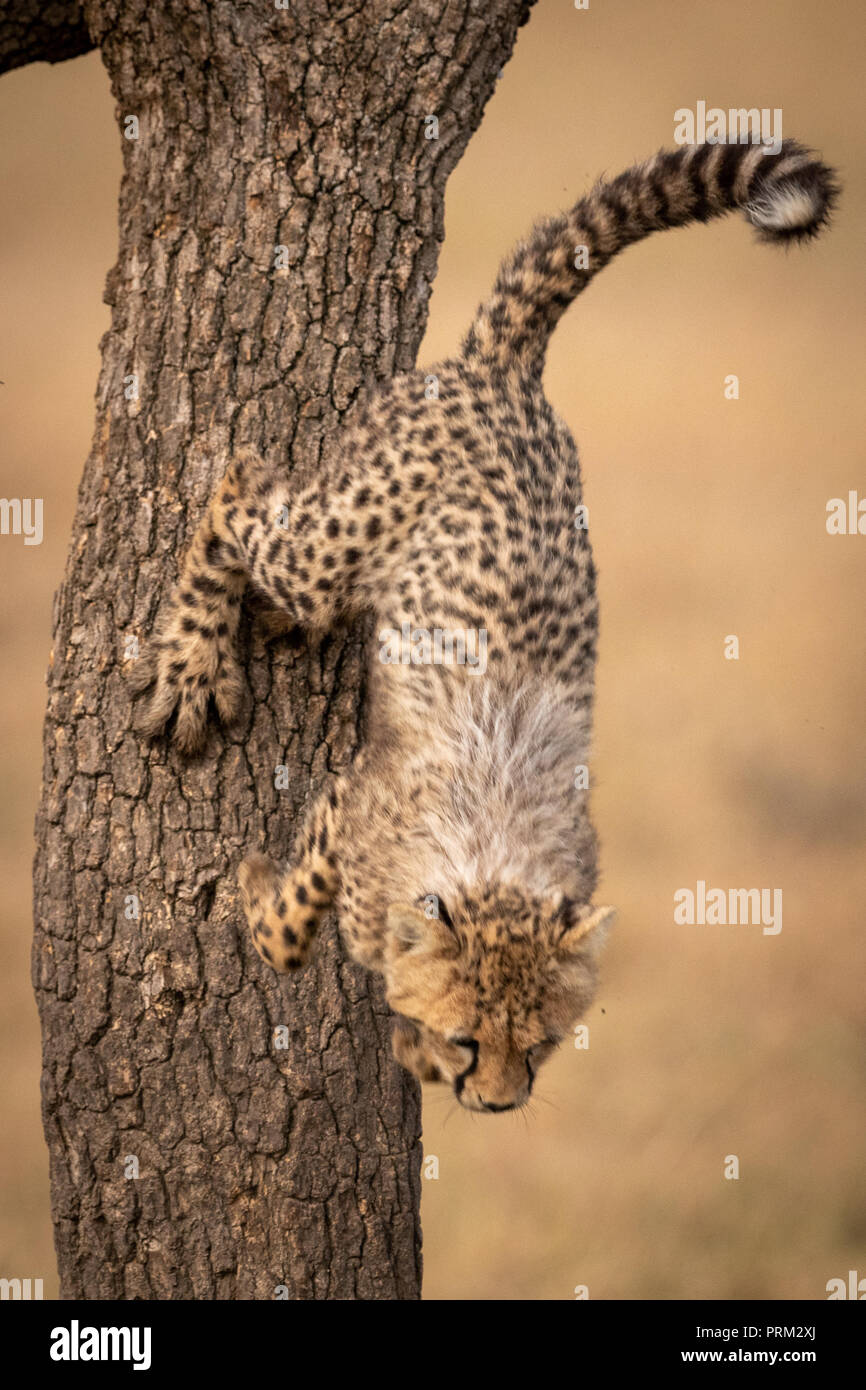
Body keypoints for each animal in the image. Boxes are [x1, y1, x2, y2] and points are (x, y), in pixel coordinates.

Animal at [130, 137, 837, 1112]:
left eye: (541, 1044)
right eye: (472, 1039)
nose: (499, 1103)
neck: (492, 856)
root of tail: (501, 373)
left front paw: (407, 1044)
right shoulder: (356, 799)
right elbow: (295, 927)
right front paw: (261, 894)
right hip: (329, 545)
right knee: (239, 482)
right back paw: (196, 668)